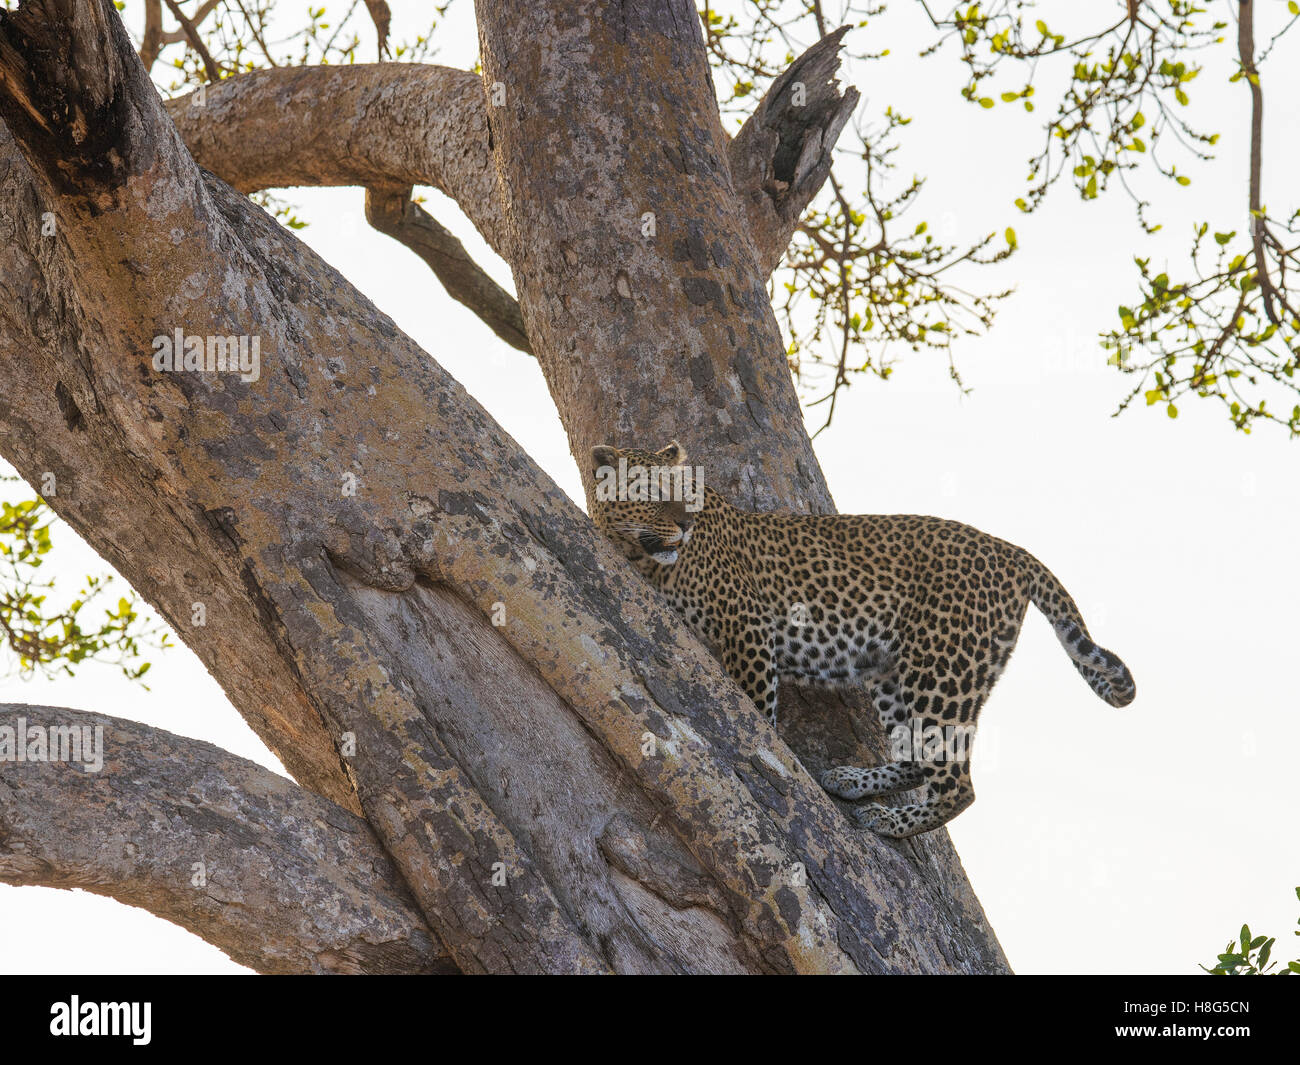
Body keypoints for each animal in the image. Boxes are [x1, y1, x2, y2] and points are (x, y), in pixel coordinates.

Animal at [589, 439, 1136, 838]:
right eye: (649, 493)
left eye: (686, 494)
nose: (684, 524)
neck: (643, 557)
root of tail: (1013, 551)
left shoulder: (748, 627)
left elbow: (754, 711)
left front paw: (765, 748)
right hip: (890, 669)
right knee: (915, 757)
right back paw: (855, 782)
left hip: (944, 668)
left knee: (957, 784)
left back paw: (890, 820)